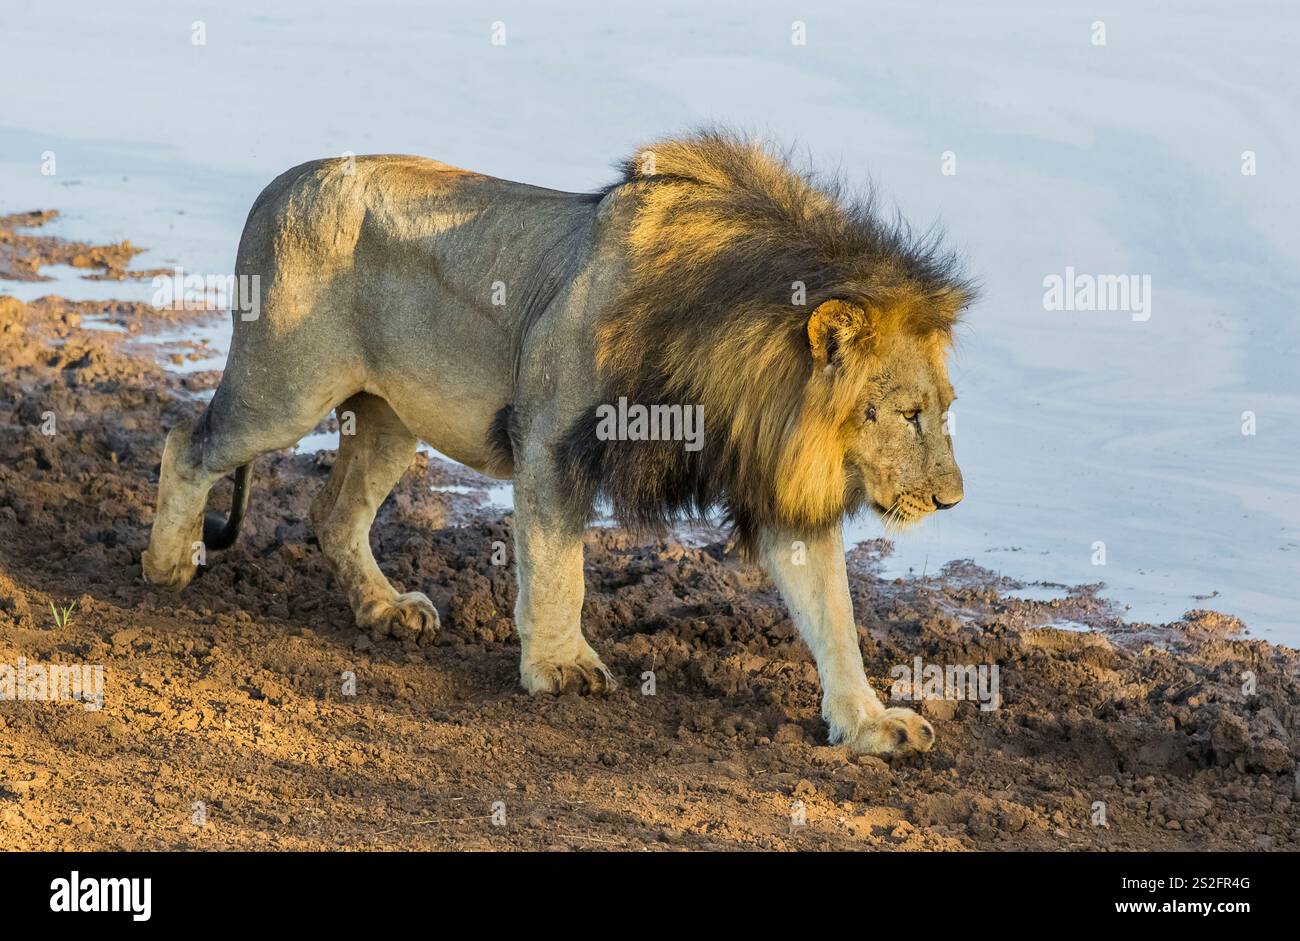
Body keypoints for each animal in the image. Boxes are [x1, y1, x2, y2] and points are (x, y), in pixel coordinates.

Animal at [142, 130, 973, 756]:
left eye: (944, 408)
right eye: (908, 413)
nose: (951, 498)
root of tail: (282, 181)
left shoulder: (772, 484)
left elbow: (834, 616)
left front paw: (869, 722)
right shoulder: (549, 434)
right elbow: (557, 567)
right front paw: (559, 665)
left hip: (388, 418)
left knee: (333, 513)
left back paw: (384, 608)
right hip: (285, 389)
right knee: (186, 440)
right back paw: (165, 565)